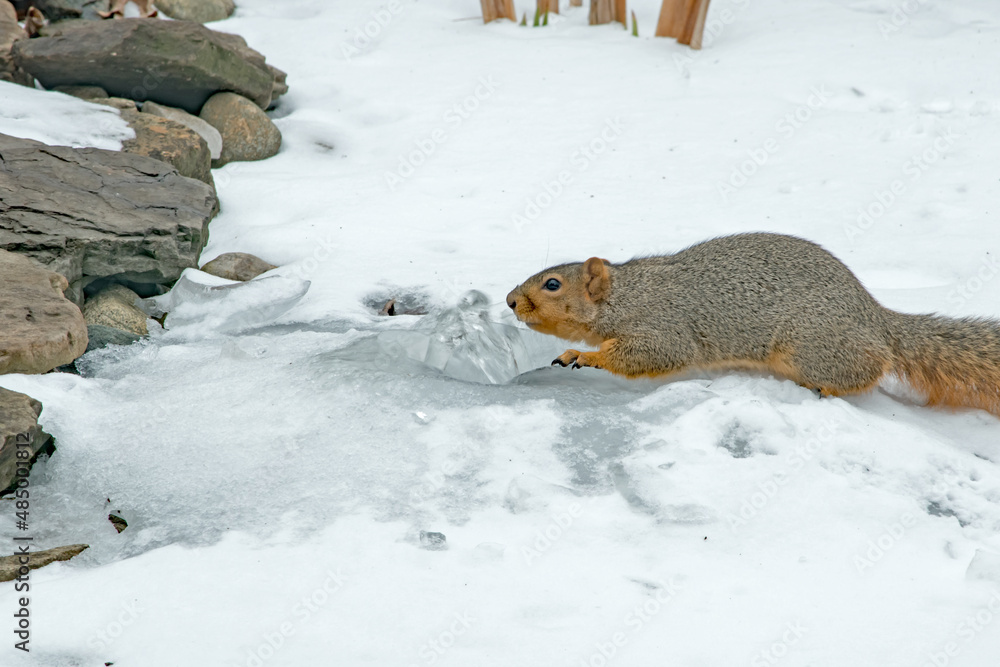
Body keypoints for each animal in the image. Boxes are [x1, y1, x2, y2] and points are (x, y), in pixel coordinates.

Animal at [505, 232, 1000, 416]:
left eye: (552, 284)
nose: (510, 301)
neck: (627, 295)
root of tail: (876, 320)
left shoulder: (664, 322)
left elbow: (654, 353)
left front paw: (583, 355)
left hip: (809, 343)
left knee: (865, 368)